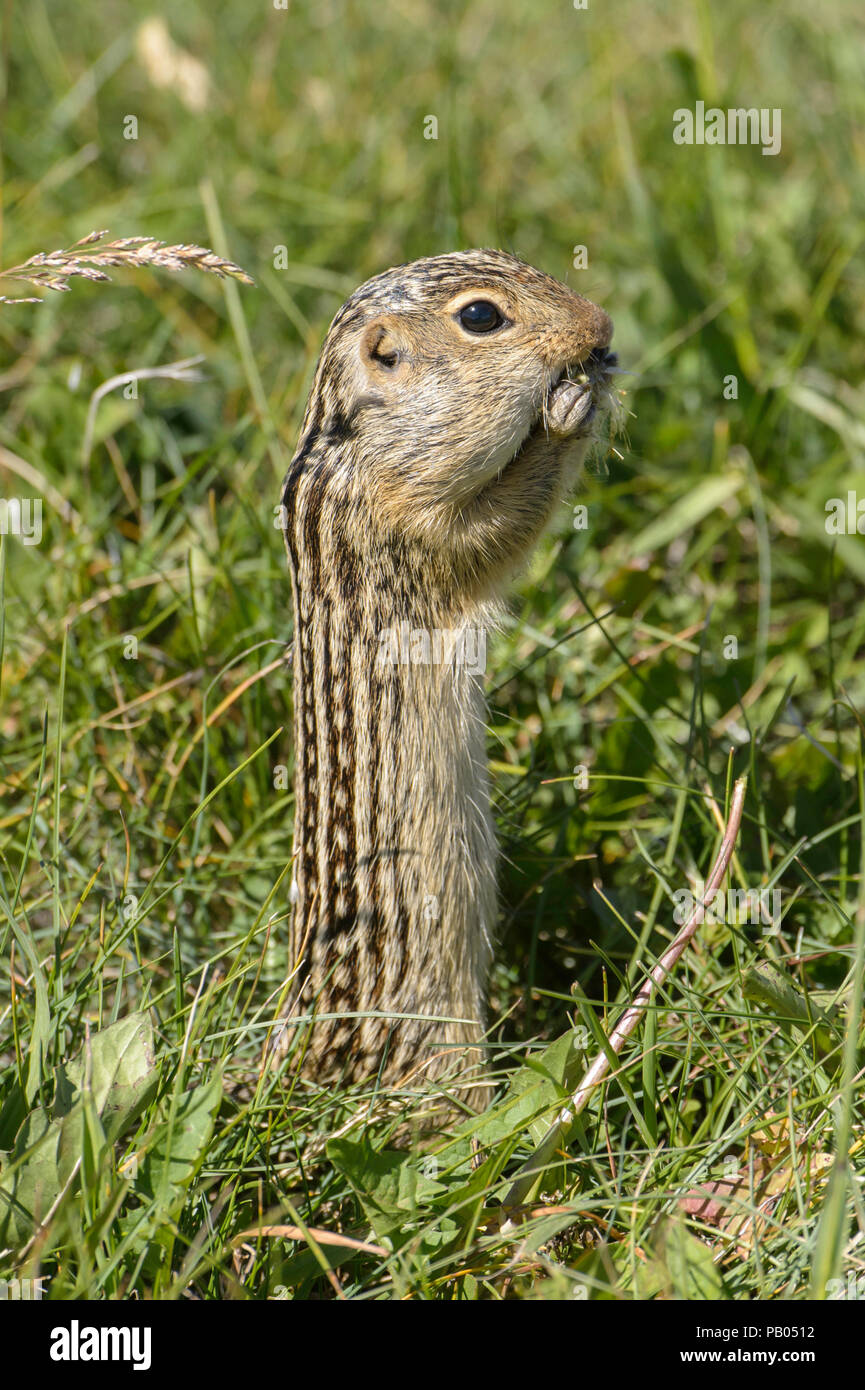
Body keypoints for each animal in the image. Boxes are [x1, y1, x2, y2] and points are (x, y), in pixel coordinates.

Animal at [278, 249, 616, 1113]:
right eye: (480, 317)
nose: (600, 329)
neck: (349, 440)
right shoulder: (412, 512)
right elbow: (496, 525)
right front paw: (570, 409)